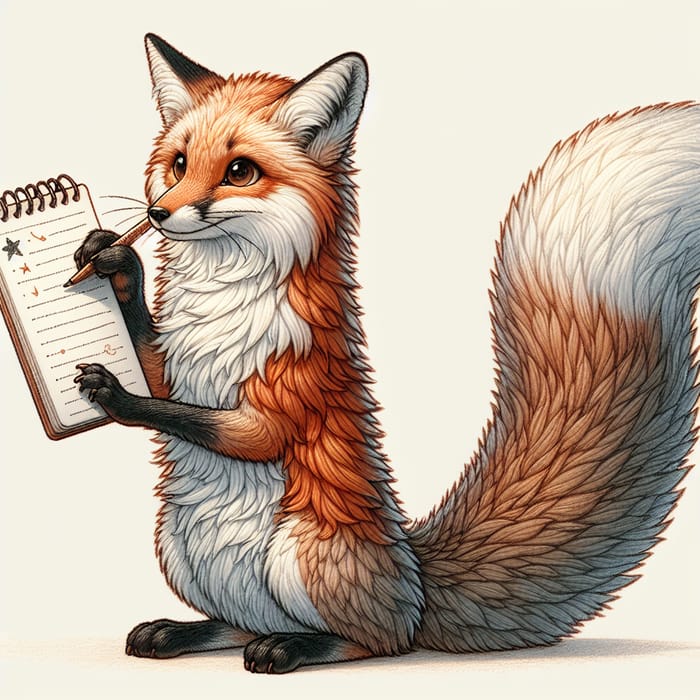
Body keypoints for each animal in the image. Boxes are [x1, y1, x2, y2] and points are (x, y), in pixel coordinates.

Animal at [72, 33, 700, 673]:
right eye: (179, 164)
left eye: (239, 171)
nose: (158, 215)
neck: (221, 305)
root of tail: (415, 576)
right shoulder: (172, 364)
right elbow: (153, 364)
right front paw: (114, 262)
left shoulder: (281, 405)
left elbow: (192, 417)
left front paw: (116, 396)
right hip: (177, 547)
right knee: (240, 624)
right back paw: (181, 632)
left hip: (301, 554)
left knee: (374, 640)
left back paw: (294, 647)